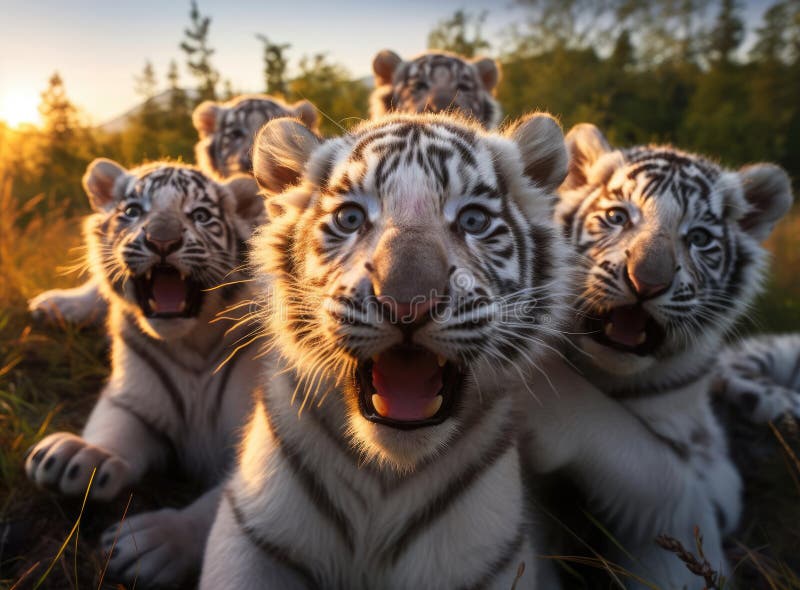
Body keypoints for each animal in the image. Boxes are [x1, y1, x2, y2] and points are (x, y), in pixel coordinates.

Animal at [24, 159, 264, 587]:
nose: (161, 240)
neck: (191, 342)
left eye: (200, 215)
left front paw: (152, 545)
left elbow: (219, 509)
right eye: (133, 211)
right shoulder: (132, 396)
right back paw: (56, 306)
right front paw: (77, 456)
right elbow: (116, 428)